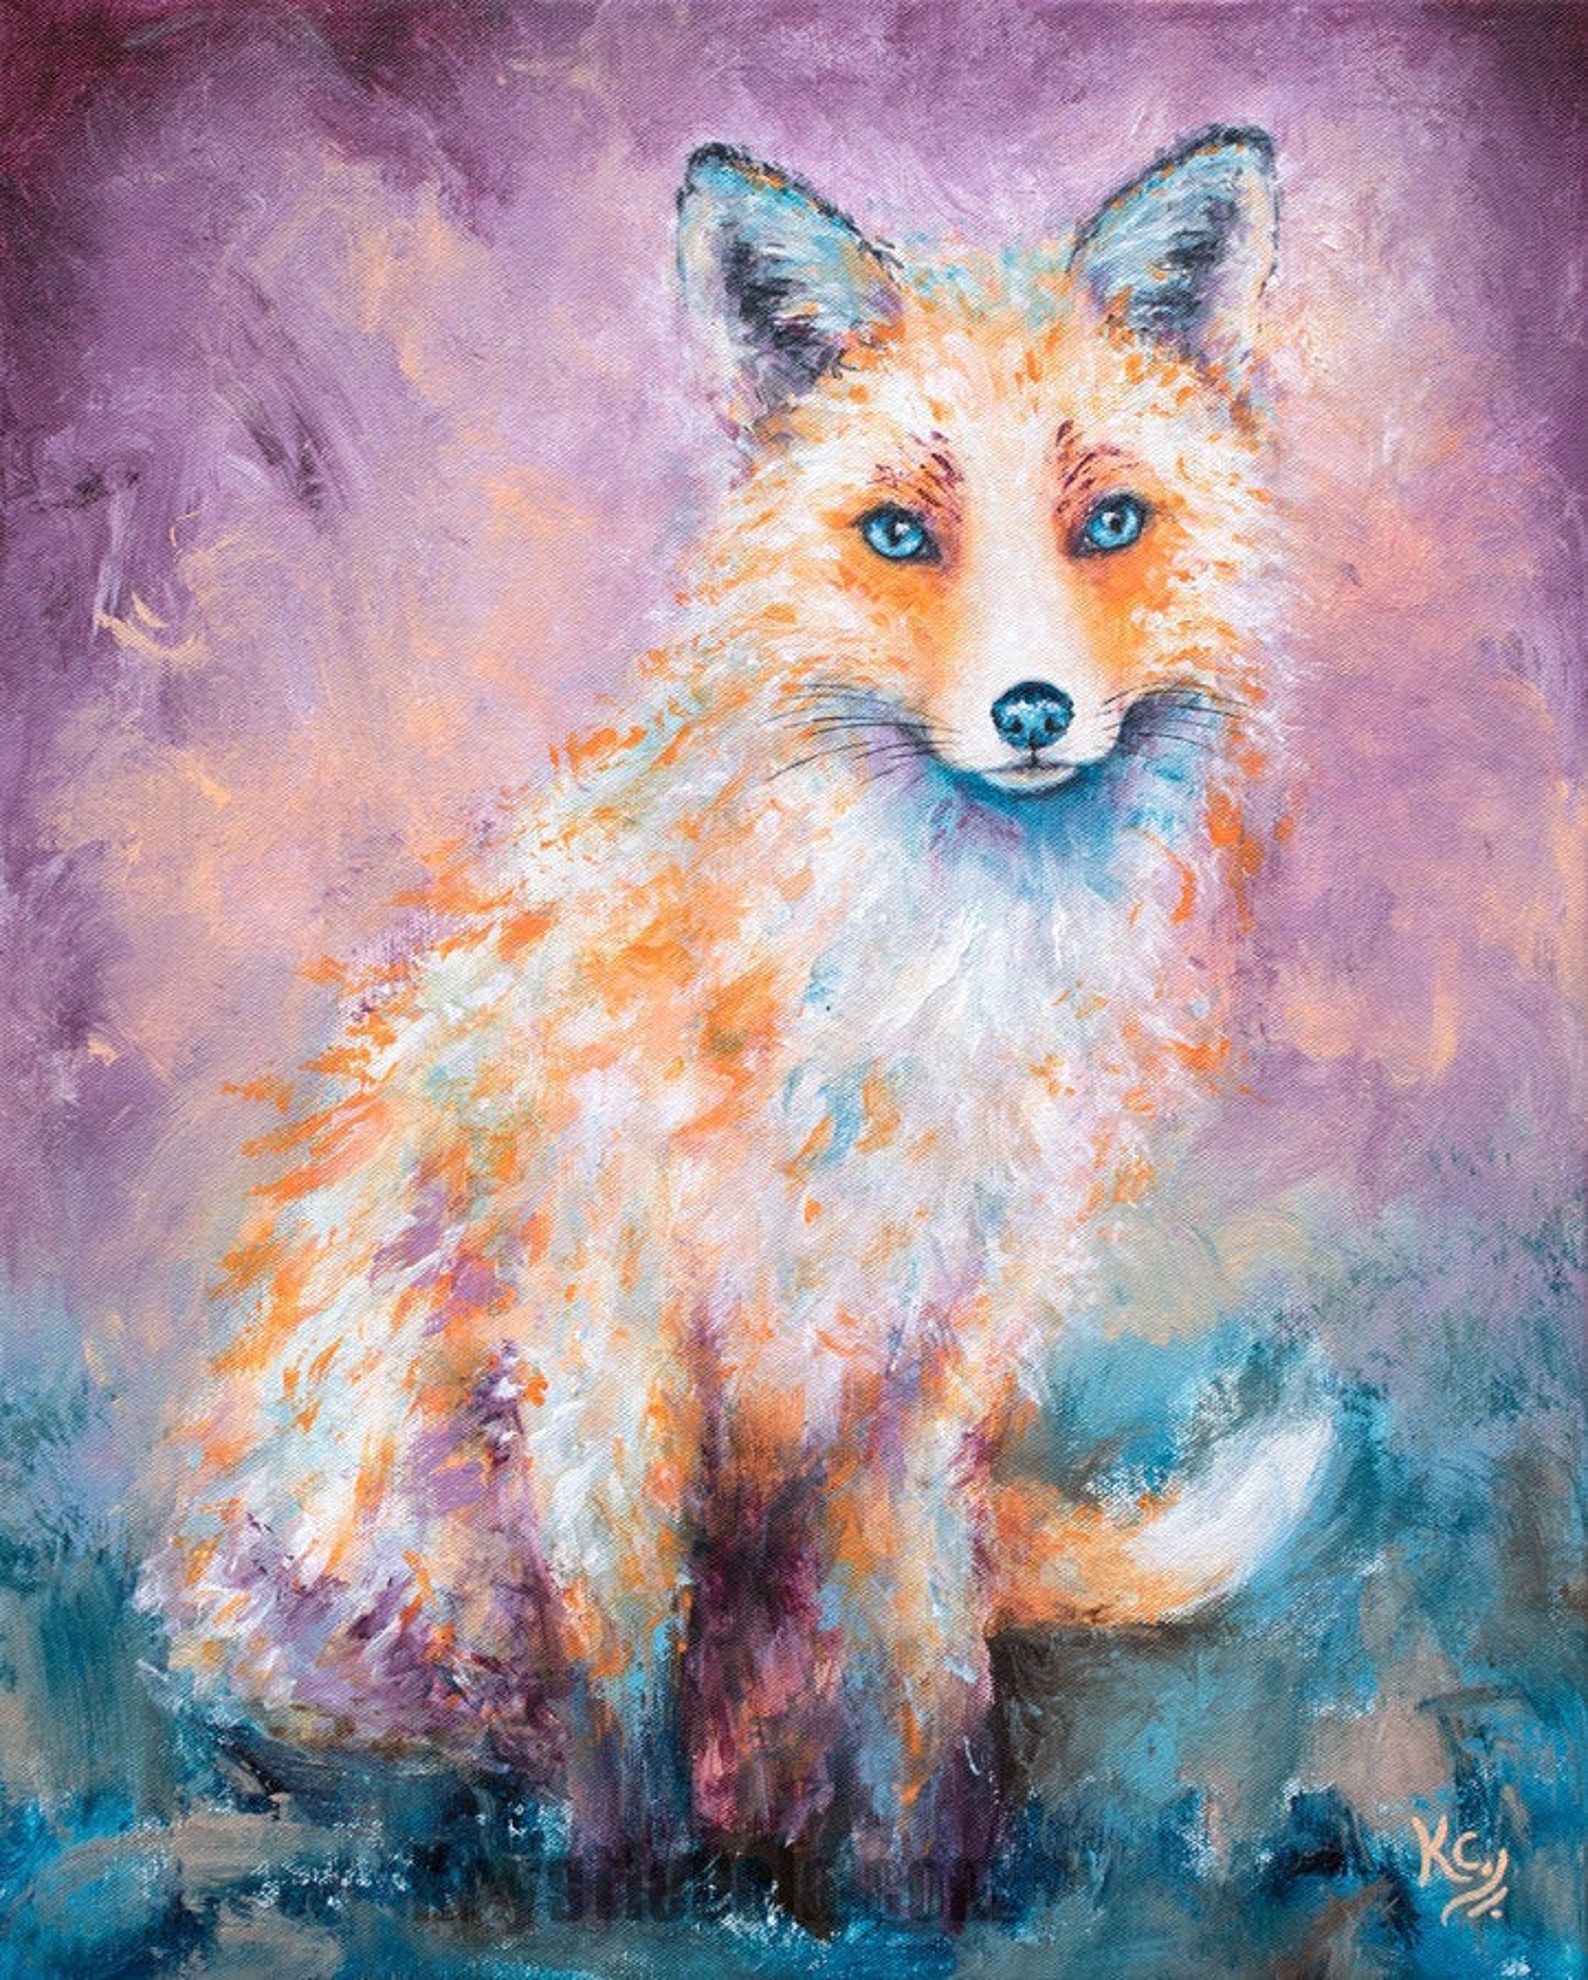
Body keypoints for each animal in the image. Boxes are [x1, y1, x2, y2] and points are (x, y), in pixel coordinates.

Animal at [141, 128, 1334, 1916]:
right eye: (899, 535)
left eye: (1112, 522)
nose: (1033, 711)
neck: (908, 992)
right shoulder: (605, 1342)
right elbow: (621, 1656)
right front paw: (627, 1889)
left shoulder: (929, 1371)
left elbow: (924, 1671)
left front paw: (927, 1894)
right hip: (375, 1549)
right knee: (404, 1724)